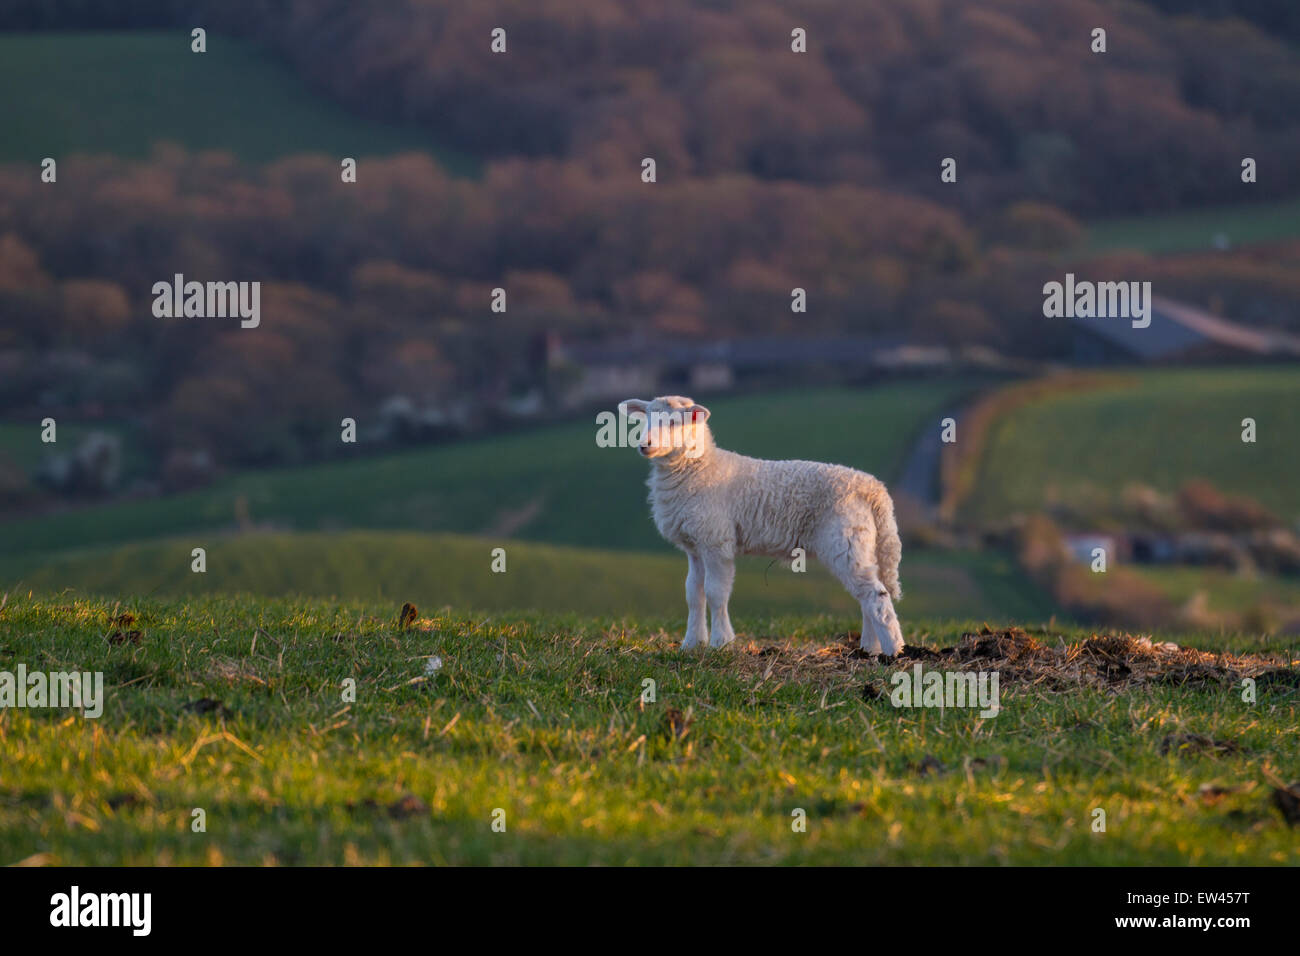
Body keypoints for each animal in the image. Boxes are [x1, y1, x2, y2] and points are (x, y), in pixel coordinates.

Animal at [619, 395, 905, 656]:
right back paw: (870, 649)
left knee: (875, 595)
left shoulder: (716, 541)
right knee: (867, 594)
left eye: (674, 422)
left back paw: (894, 651)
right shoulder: (695, 546)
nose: (645, 444)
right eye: (646, 417)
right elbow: (693, 594)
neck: (700, 468)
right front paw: (691, 644)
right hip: (862, 542)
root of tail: (872, 488)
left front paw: (720, 643)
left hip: (845, 539)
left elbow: (715, 593)